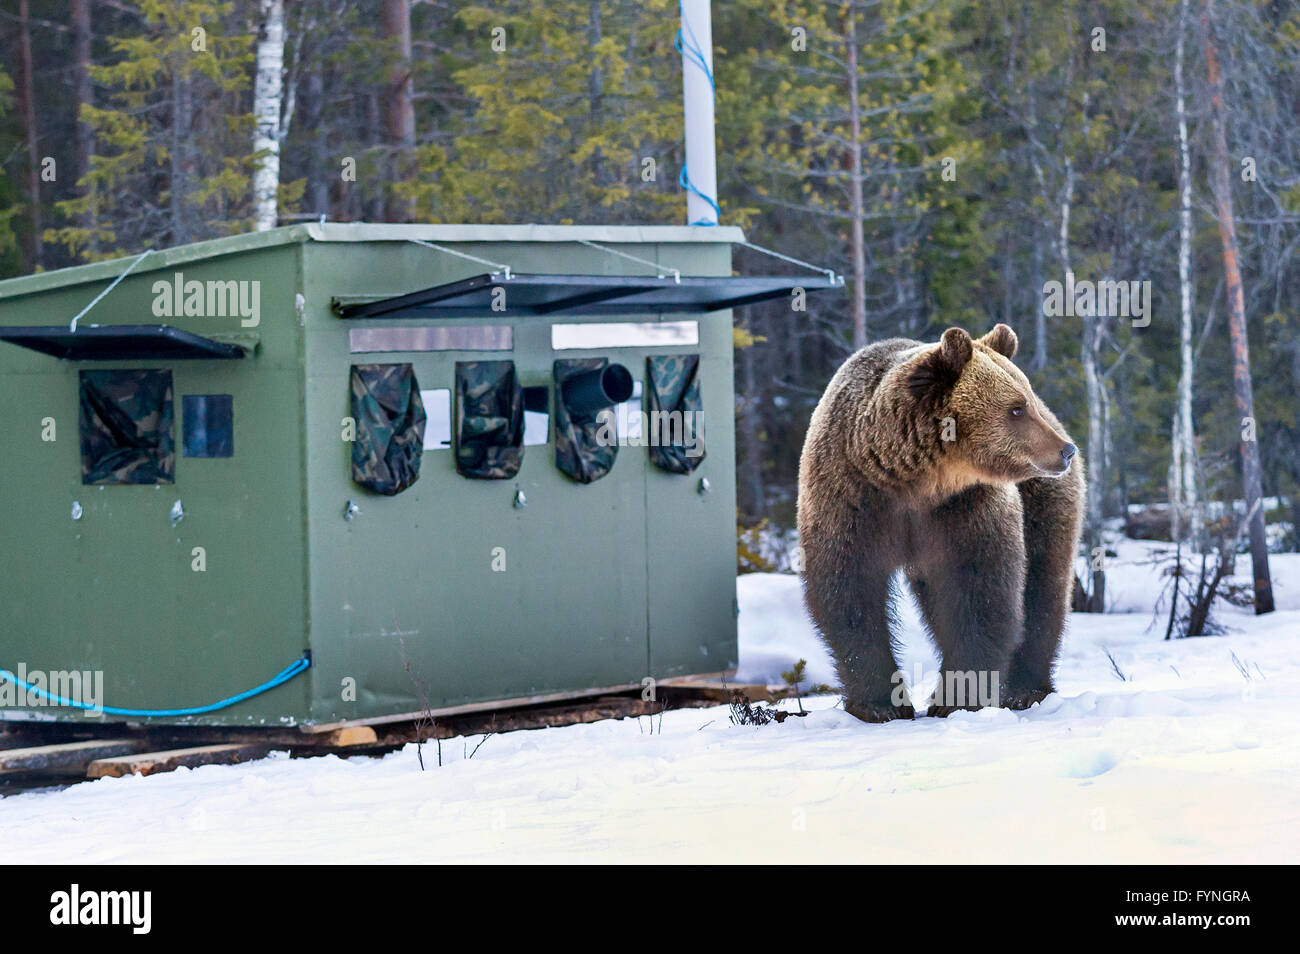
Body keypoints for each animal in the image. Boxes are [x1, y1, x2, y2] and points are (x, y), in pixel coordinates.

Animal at [796, 324, 1084, 722]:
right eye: (1016, 408)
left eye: (1026, 401)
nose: (1066, 450)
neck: (915, 480)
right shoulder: (852, 499)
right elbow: (849, 593)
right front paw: (880, 704)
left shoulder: (964, 509)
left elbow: (979, 593)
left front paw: (956, 699)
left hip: (1041, 502)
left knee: (1044, 584)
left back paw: (1025, 689)